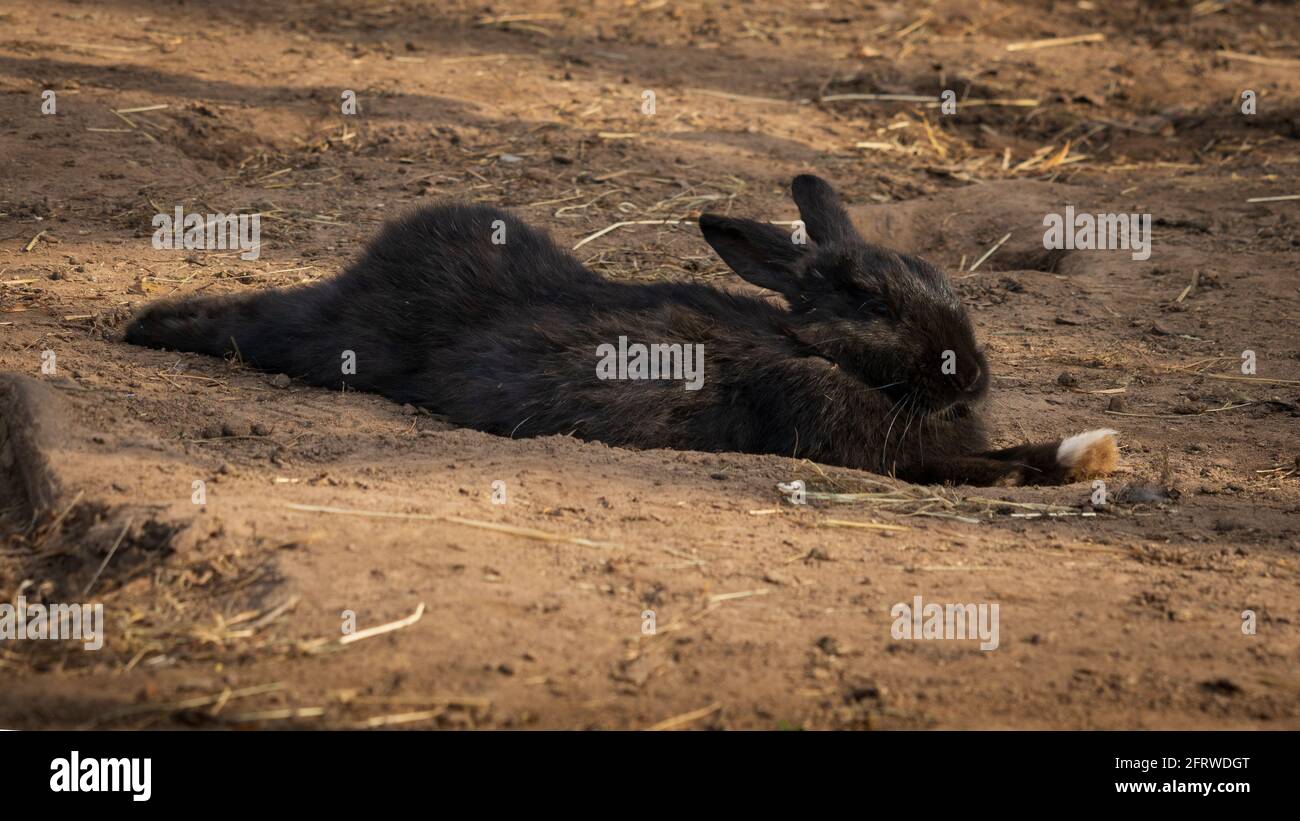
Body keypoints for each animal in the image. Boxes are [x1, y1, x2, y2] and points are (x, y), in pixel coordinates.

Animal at [124, 174, 1117, 486]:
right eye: (872, 300)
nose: (972, 373)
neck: (813, 353)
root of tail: (380, 258)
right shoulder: (876, 451)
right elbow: (967, 467)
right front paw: (1056, 464)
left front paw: (1083, 449)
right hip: (337, 341)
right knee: (261, 324)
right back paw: (145, 326)